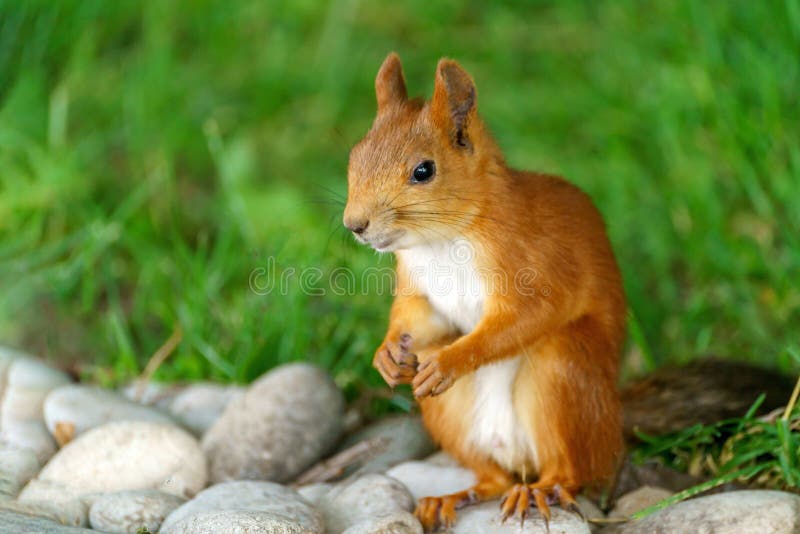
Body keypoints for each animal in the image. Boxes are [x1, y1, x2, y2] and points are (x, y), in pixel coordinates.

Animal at [343, 52, 626, 531]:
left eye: (424, 170)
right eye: (354, 155)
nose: (354, 224)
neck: (443, 239)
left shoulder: (535, 265)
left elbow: (526, 317)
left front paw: (451, 360)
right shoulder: (420, 290)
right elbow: (416, 320)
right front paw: (387, 354)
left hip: (563, 372)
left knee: (573, 471)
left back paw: (540, 490)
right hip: (449, 415)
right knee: (493, 478)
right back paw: (453, 497)